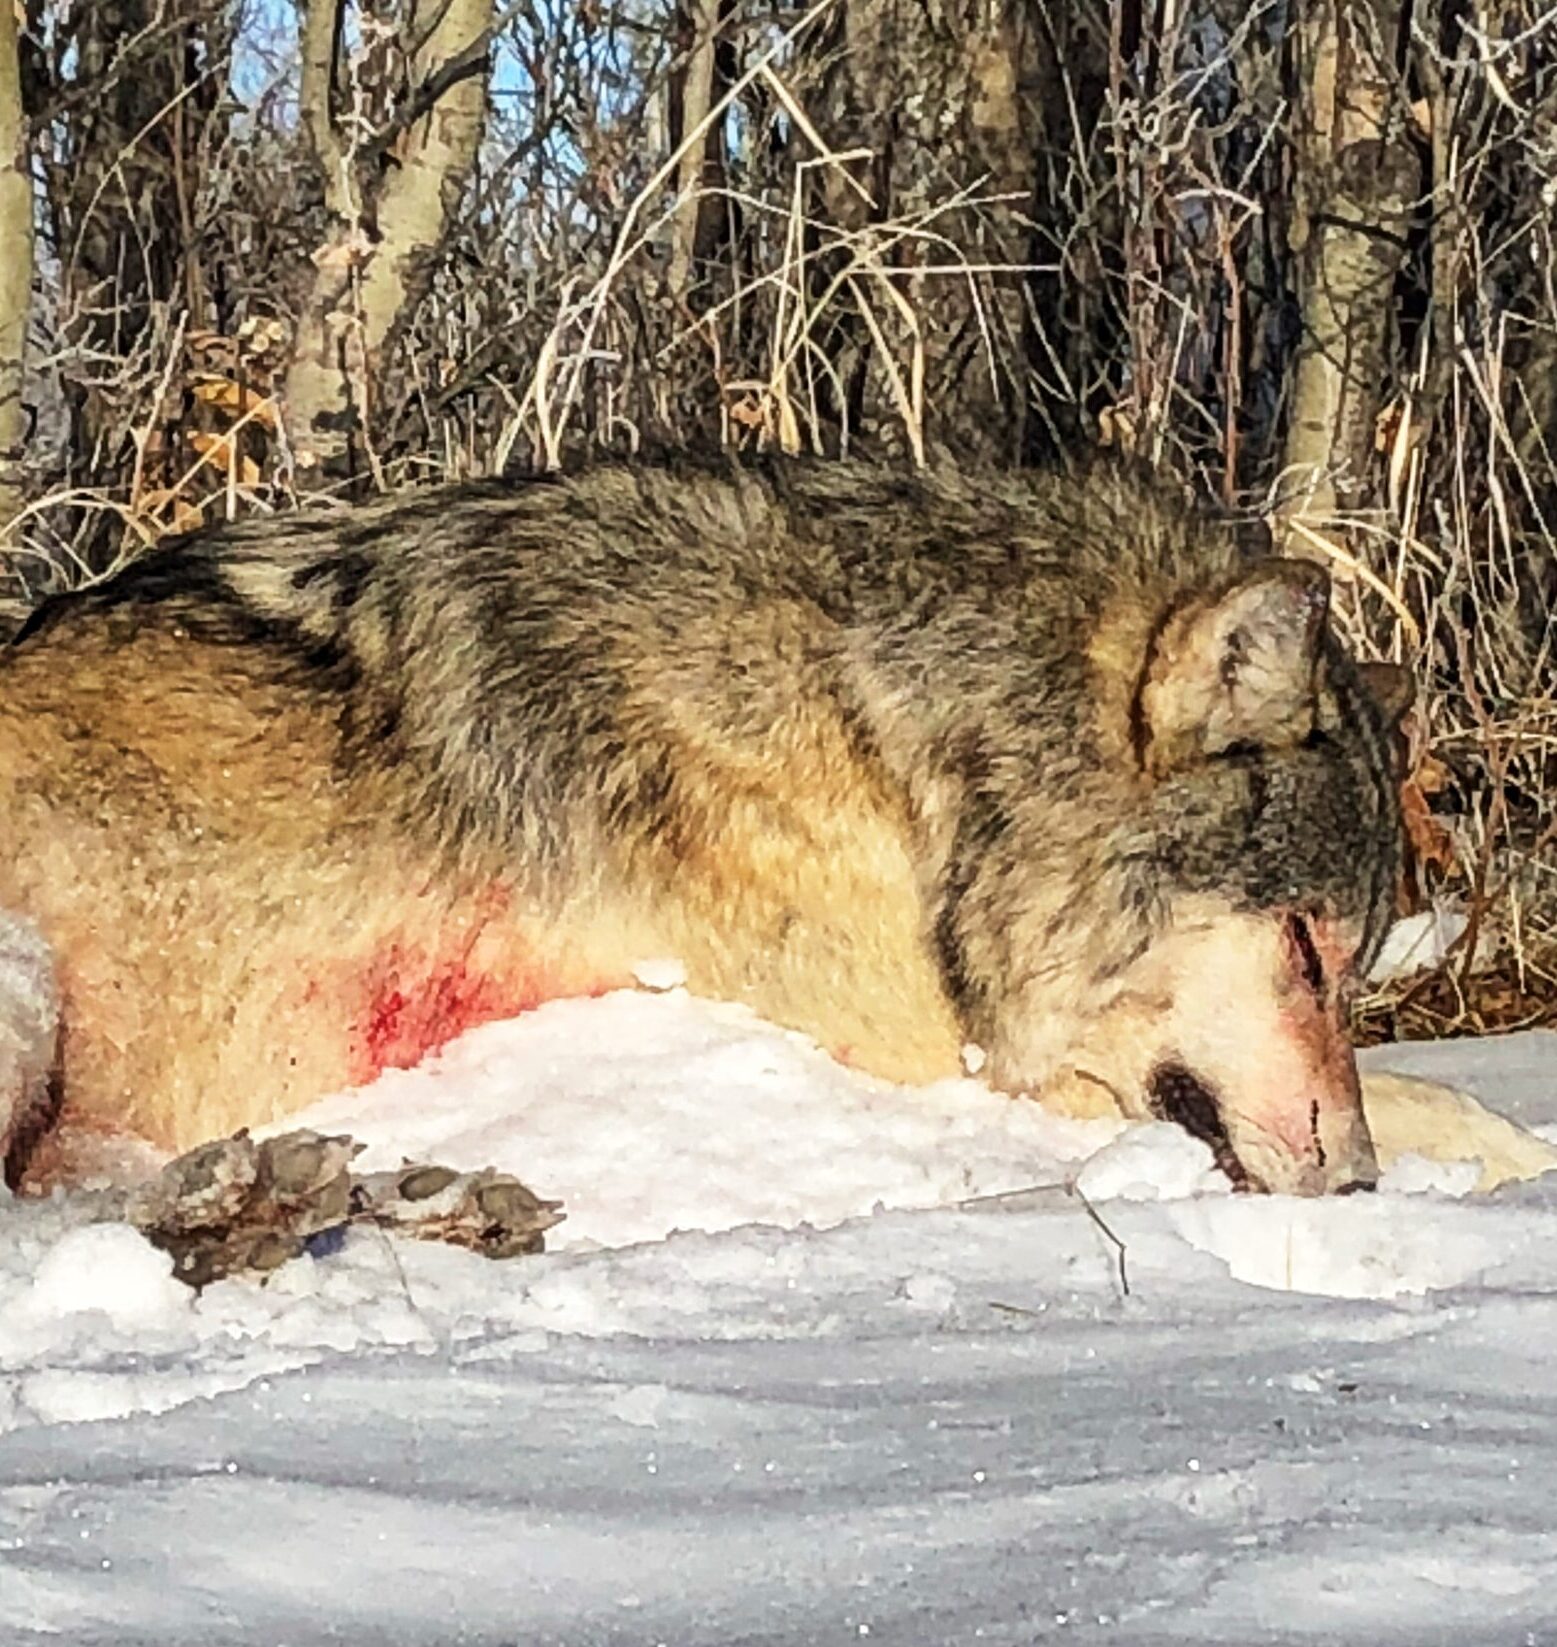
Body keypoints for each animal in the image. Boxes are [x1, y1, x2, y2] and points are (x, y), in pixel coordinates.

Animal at [0, 458, 1549, 1195]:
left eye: (1352, 963)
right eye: (1301, 945)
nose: (1352, 1183)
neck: (901, 750)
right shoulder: (940, 1067)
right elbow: (1443, 1101)